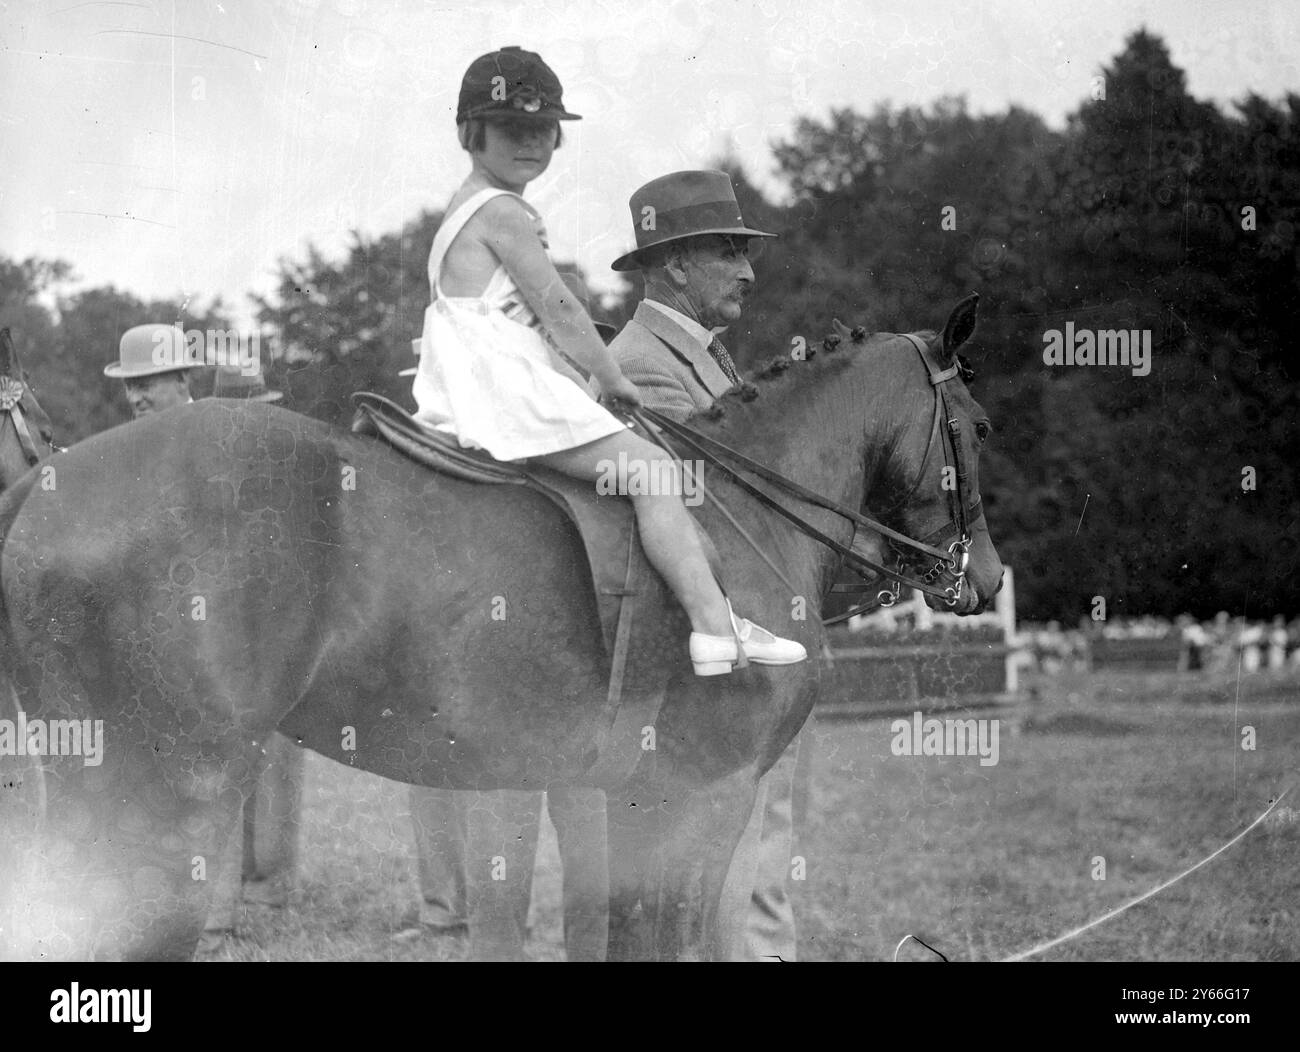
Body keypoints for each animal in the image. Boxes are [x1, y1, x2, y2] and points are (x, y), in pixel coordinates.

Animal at [0, 296, 1003, 961]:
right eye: (981, 427)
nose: (986, 577)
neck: (736, 513)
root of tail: (45, 487)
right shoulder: (709, 793)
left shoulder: (637, 799)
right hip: (173, 791)